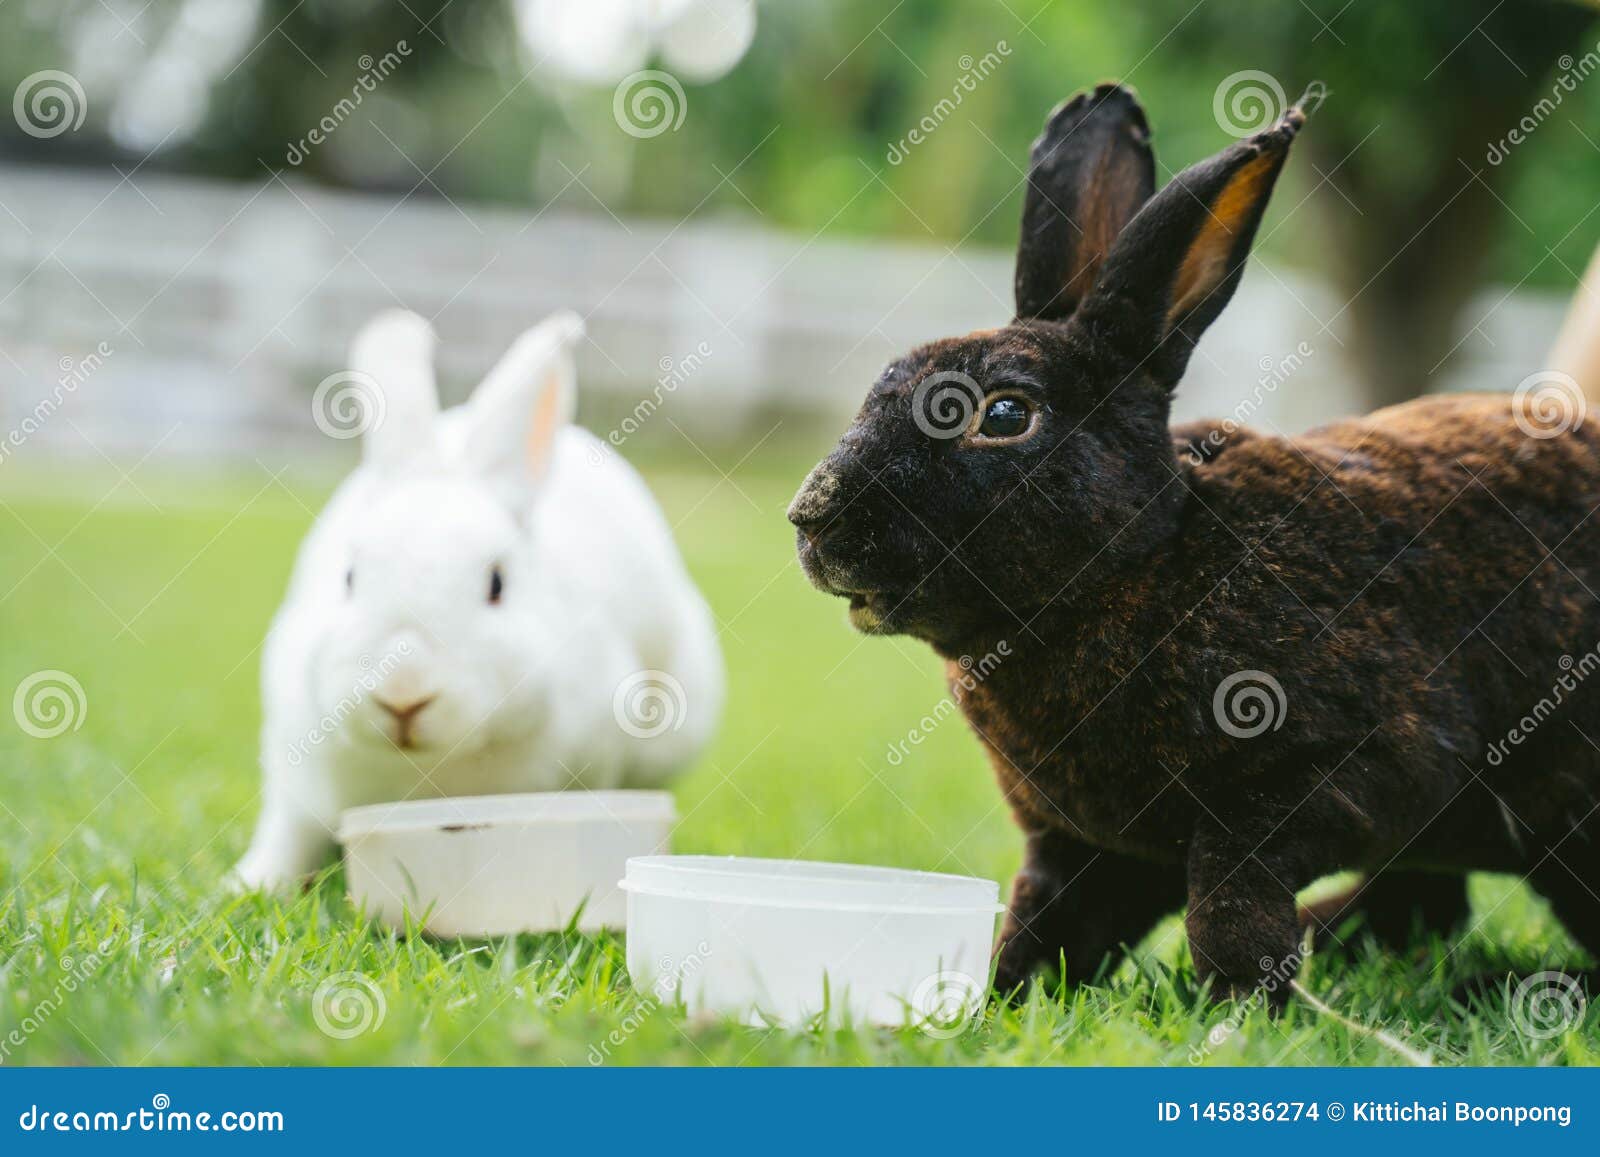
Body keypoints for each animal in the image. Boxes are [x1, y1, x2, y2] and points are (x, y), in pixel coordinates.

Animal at [231, 309, 724, 890]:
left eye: (497, 585)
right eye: (349, 578)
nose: (403, 691)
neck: (427, 768)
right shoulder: (295, 773)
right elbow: (287, 836)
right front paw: (251, 883)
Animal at [787, 81, 1600, 1003]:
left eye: (1004, 414)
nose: (813, 516)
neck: (1140, 563)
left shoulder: (1315, 782)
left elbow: (1227, 906)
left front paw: (1237, 1009)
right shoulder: (1079, 849)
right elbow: (1043, 925)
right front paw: (1002, 1001)